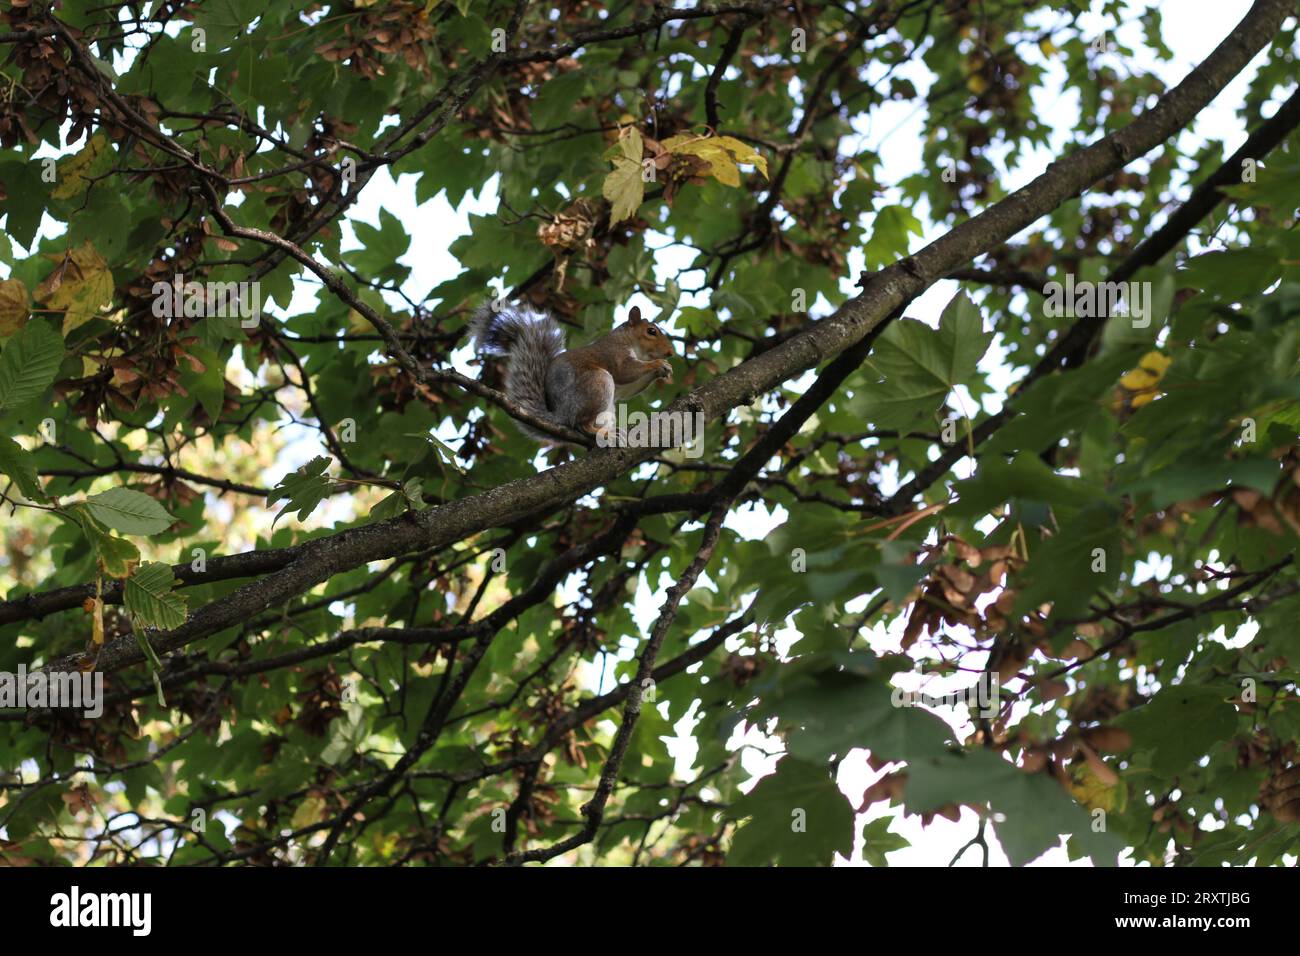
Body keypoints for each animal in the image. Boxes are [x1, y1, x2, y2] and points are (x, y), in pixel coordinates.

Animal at [468, 303, 674, 444]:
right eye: (651, 331)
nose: (671, 352)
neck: (628, 340)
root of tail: (561, 415)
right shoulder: (614, 354)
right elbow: (626, 371)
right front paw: (658, 364)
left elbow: (628, 388)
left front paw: (663, 369)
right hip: (598, 383)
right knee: (581, 424)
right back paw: (603, 433)